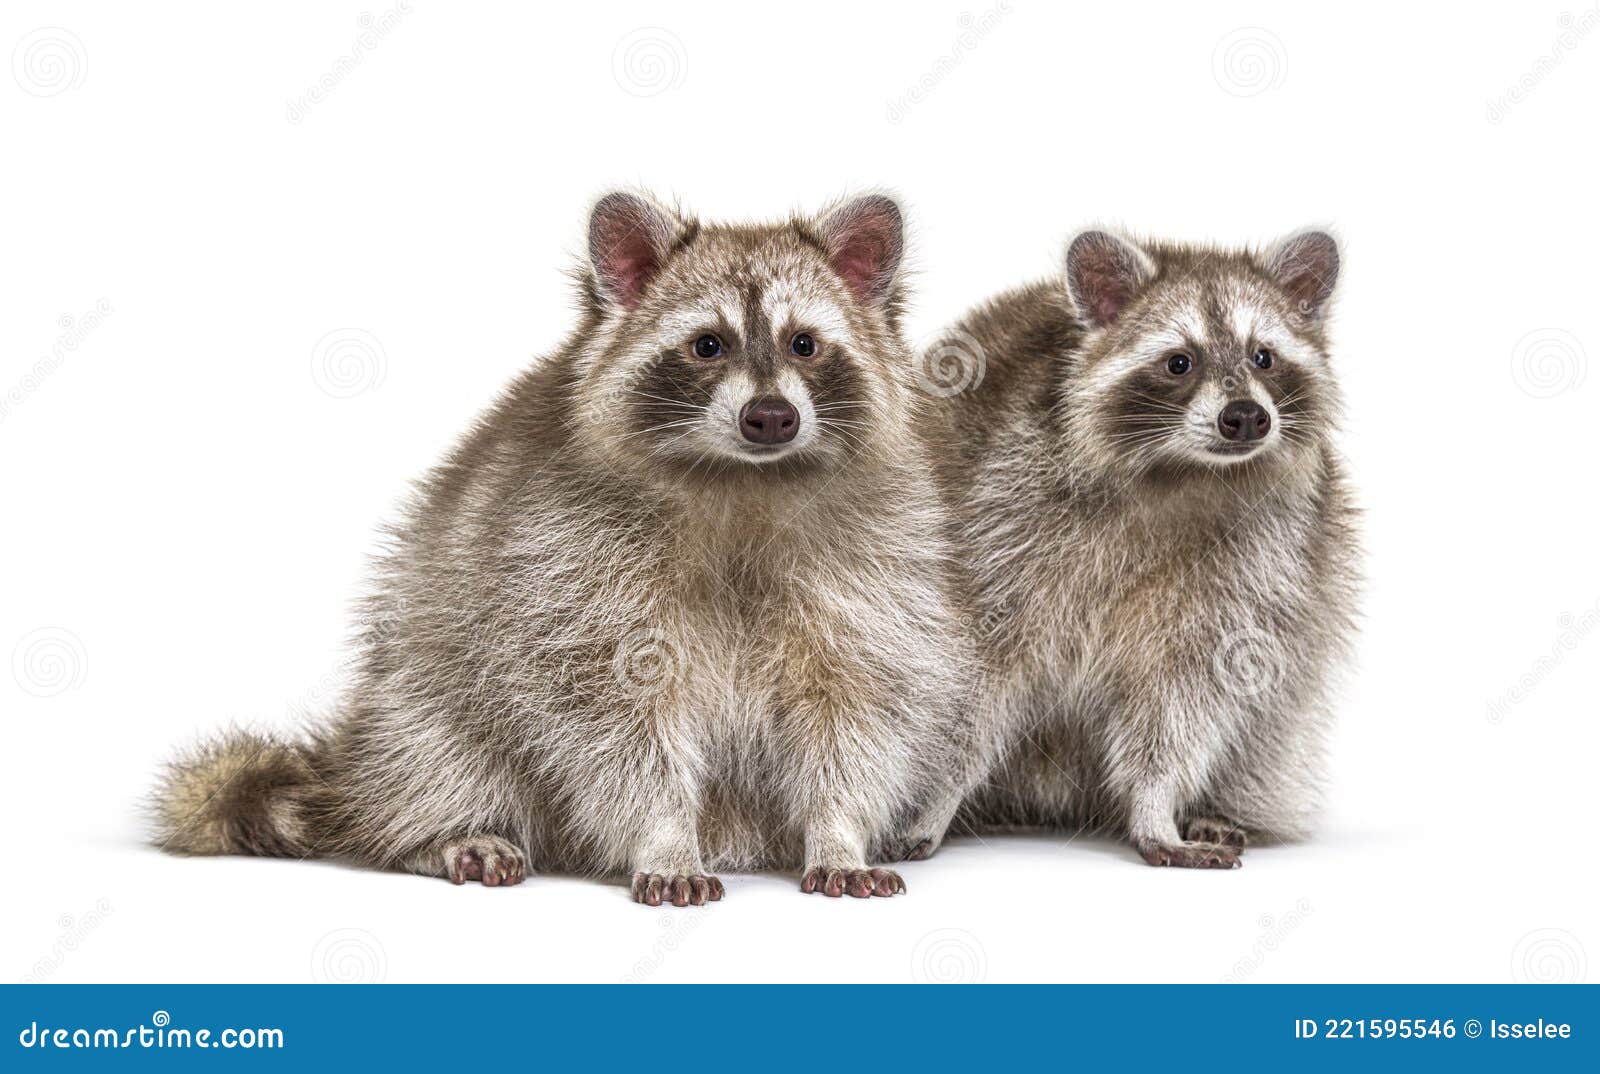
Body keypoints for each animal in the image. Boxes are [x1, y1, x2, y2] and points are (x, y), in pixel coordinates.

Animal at [151, 192, 975, 903]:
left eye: (805, 344)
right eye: (707, 346)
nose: (770, 417)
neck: (744, 478)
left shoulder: (873, 561)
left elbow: (857, 706)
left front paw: (838, 832)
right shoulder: (566, 557)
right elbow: (611, 720)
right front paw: (664, 837)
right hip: (418, 679)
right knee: (436, 743)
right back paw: (440, 829)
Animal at [900, 228, 1358, 867]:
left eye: (1263, 356)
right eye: (1179, 362)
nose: (1246, 417)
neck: (1185, 472)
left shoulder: (1263, 559)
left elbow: (1189, 696)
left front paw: (1156, 807)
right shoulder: (996, 520)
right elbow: (969, 678)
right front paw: (932, 796)